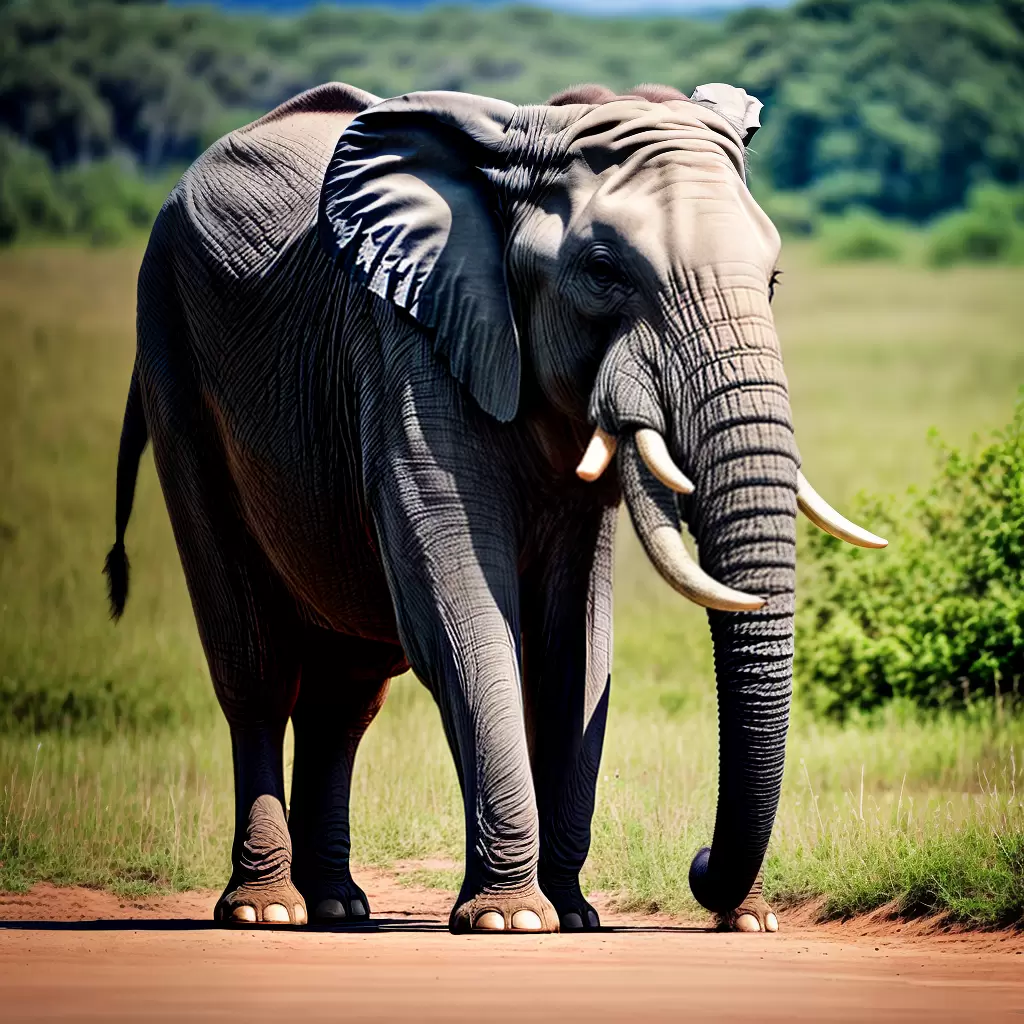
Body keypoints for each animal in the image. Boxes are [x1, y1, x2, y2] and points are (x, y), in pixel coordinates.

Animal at [105, 79, 885, 934]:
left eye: (772, 282)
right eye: (604, 270)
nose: (704, 866)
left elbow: (576, 645)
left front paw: (579, 916)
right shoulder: (407, 345)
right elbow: (461, 613)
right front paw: (513, 920)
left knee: (346, 694)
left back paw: (339, 906)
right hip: (169, 346)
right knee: (257, 668)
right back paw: (266, 910)